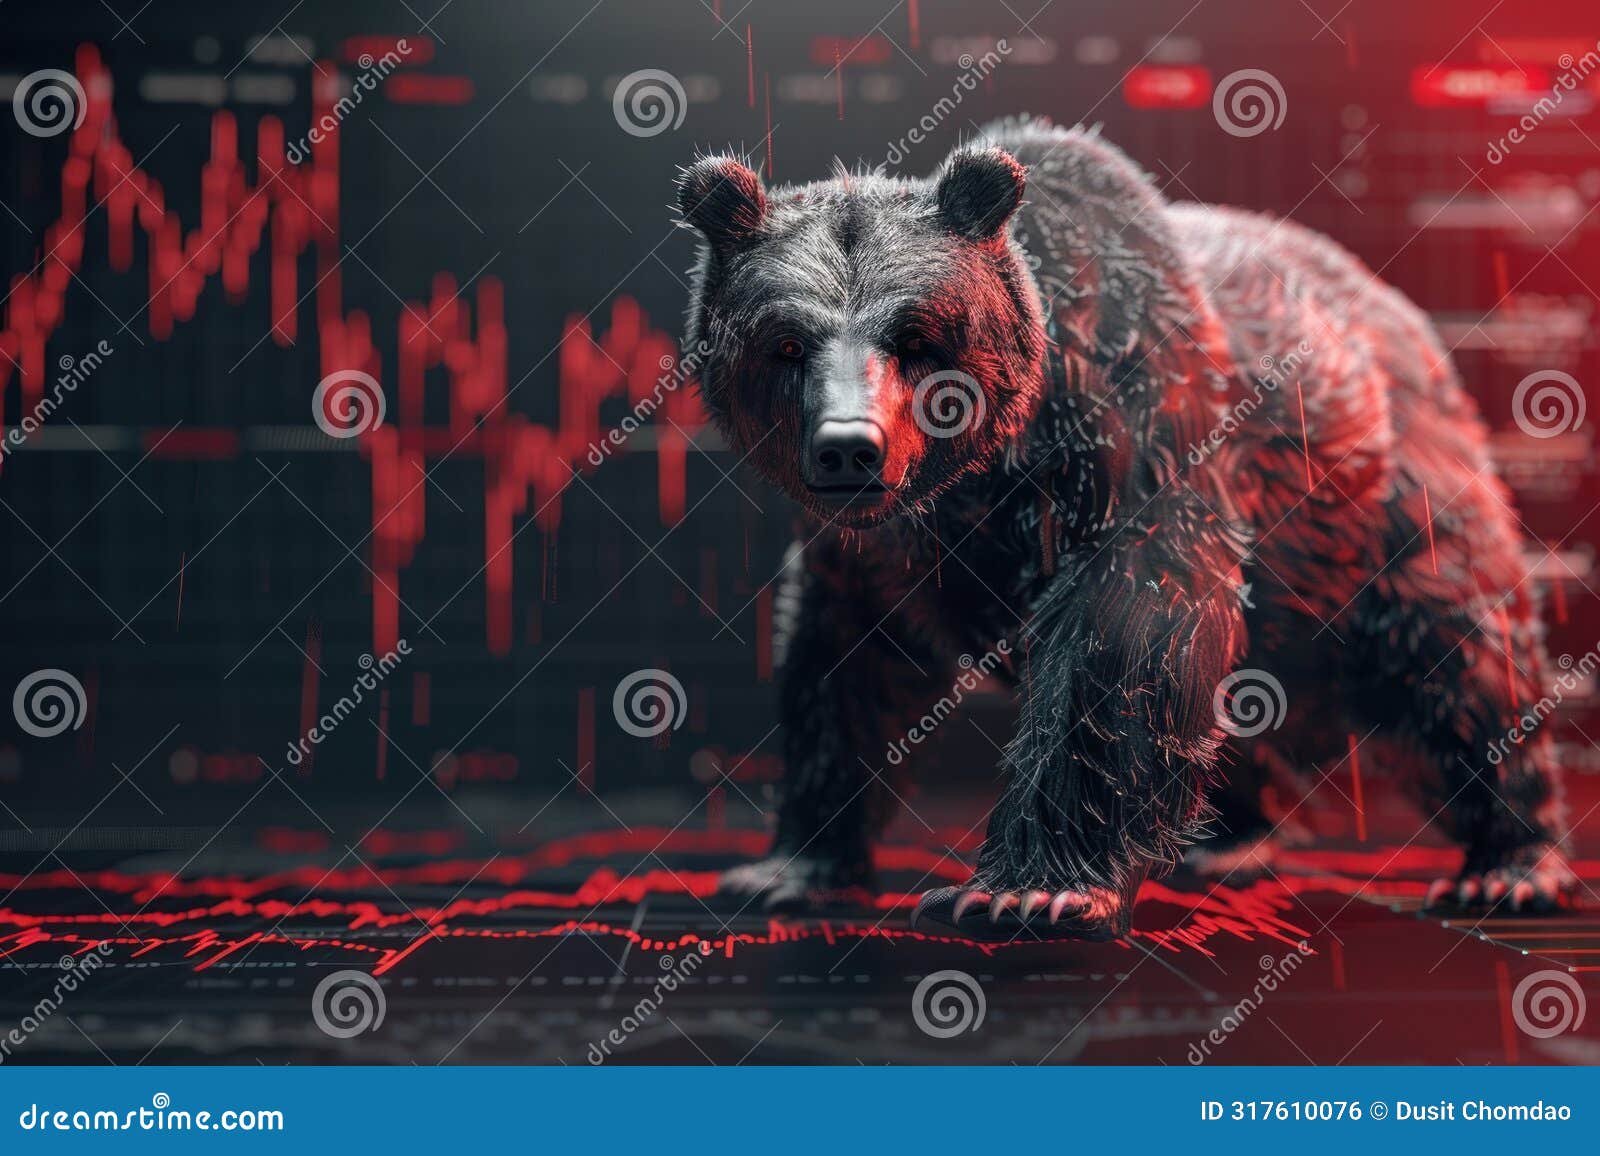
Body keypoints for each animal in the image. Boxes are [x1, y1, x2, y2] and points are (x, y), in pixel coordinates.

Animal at [674, 116, 1577, 941]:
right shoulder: (872, 555)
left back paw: (1509, 865)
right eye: (785, 342)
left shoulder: (1125, 419)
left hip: (1388, 506)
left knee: (1456, 656)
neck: (976, 480)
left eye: (918, 337)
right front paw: (789, 869)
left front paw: (1029, 891)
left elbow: (1128, 628)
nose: (849, 447)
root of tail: (1396, 310)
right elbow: (841, 671)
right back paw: (1230, 840)